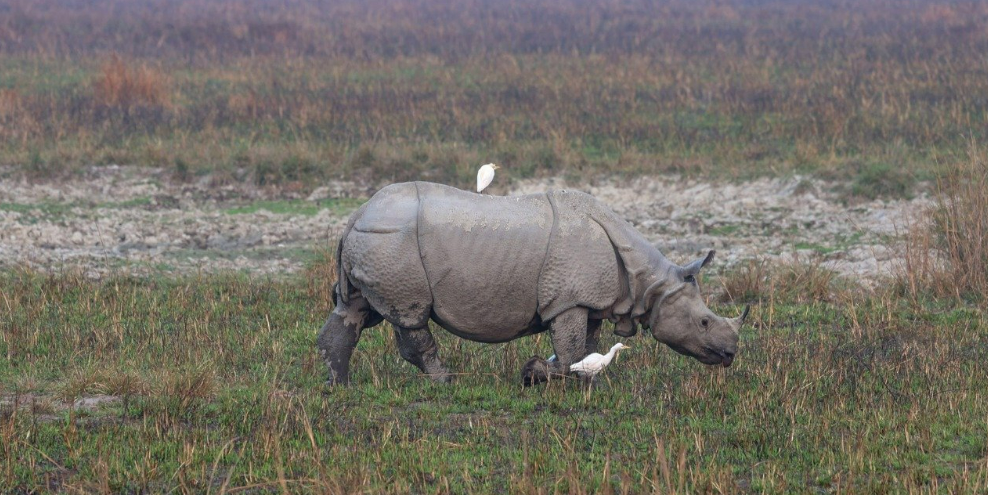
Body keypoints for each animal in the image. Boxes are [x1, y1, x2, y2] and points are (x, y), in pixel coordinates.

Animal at [317, 181, 749, 385]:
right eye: (704, 322)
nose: (730, 354)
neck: (650, 281)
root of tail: (356, 214)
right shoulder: (568, 299)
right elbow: (571, 351)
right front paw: (534, 374)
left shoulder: (589, 300)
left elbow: (585, 349)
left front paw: (581, 379)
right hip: (393, 244)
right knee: (410, 316)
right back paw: (445, 380)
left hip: (377, 242)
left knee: (355, 309)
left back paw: (340, 384)